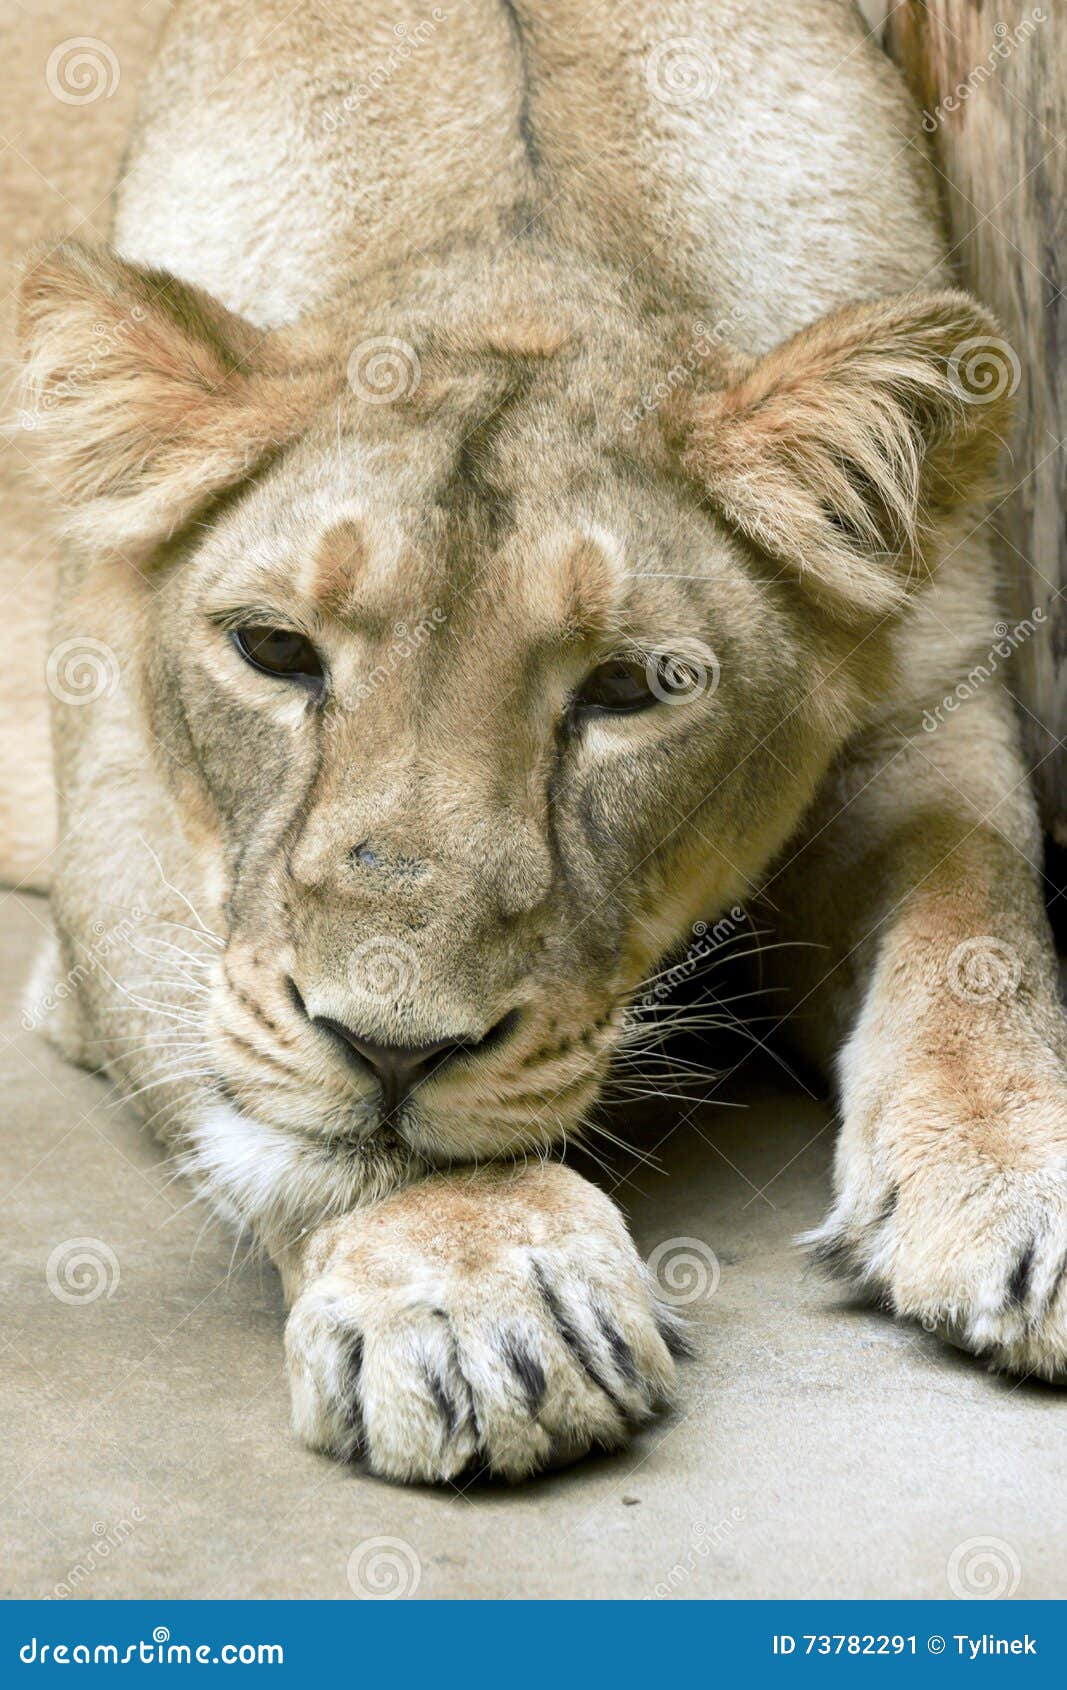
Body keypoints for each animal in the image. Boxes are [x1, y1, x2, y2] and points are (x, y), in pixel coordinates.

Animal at [12, 0, 1067, 1484]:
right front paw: (470, 1285)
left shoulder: (929, 710)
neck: (526, 235)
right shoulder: (114, 812)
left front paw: (1021, 1173)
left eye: (632, 688)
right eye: (274, 652)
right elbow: (292, 1087)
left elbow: (972, 913)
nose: (395, 1051)